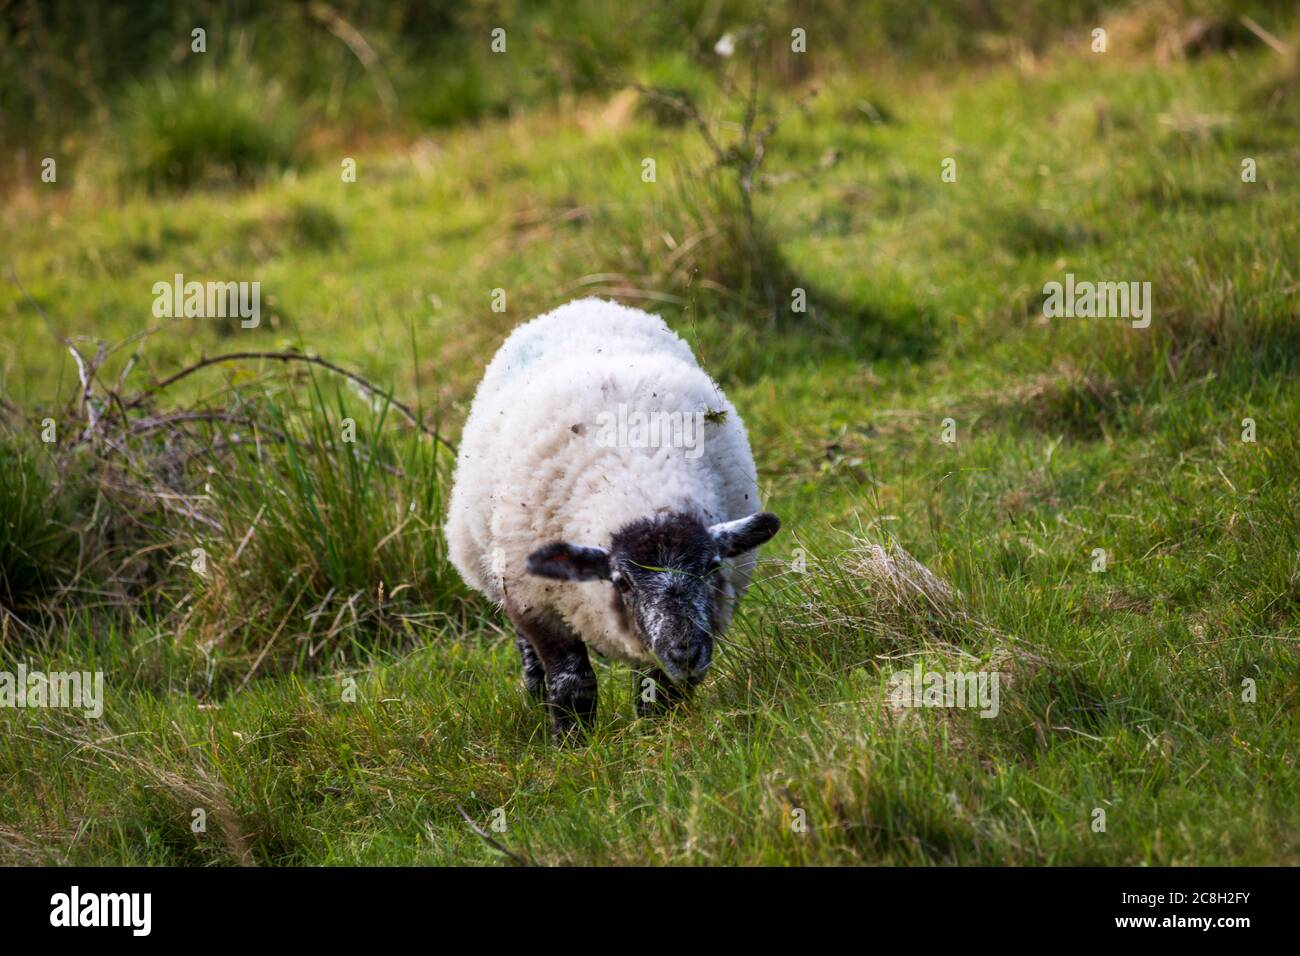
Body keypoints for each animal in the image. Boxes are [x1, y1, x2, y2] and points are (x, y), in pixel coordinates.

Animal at [446, 297, 780, 741]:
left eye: (711, 568)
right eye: (622, 582)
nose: (686, 654)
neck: (643, 482)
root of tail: (581, 303)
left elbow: (658, 683)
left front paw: (658, 729)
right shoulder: (536, 600)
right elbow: (572, 682)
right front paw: (571, 741)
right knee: (526, 648)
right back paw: (533, 694)